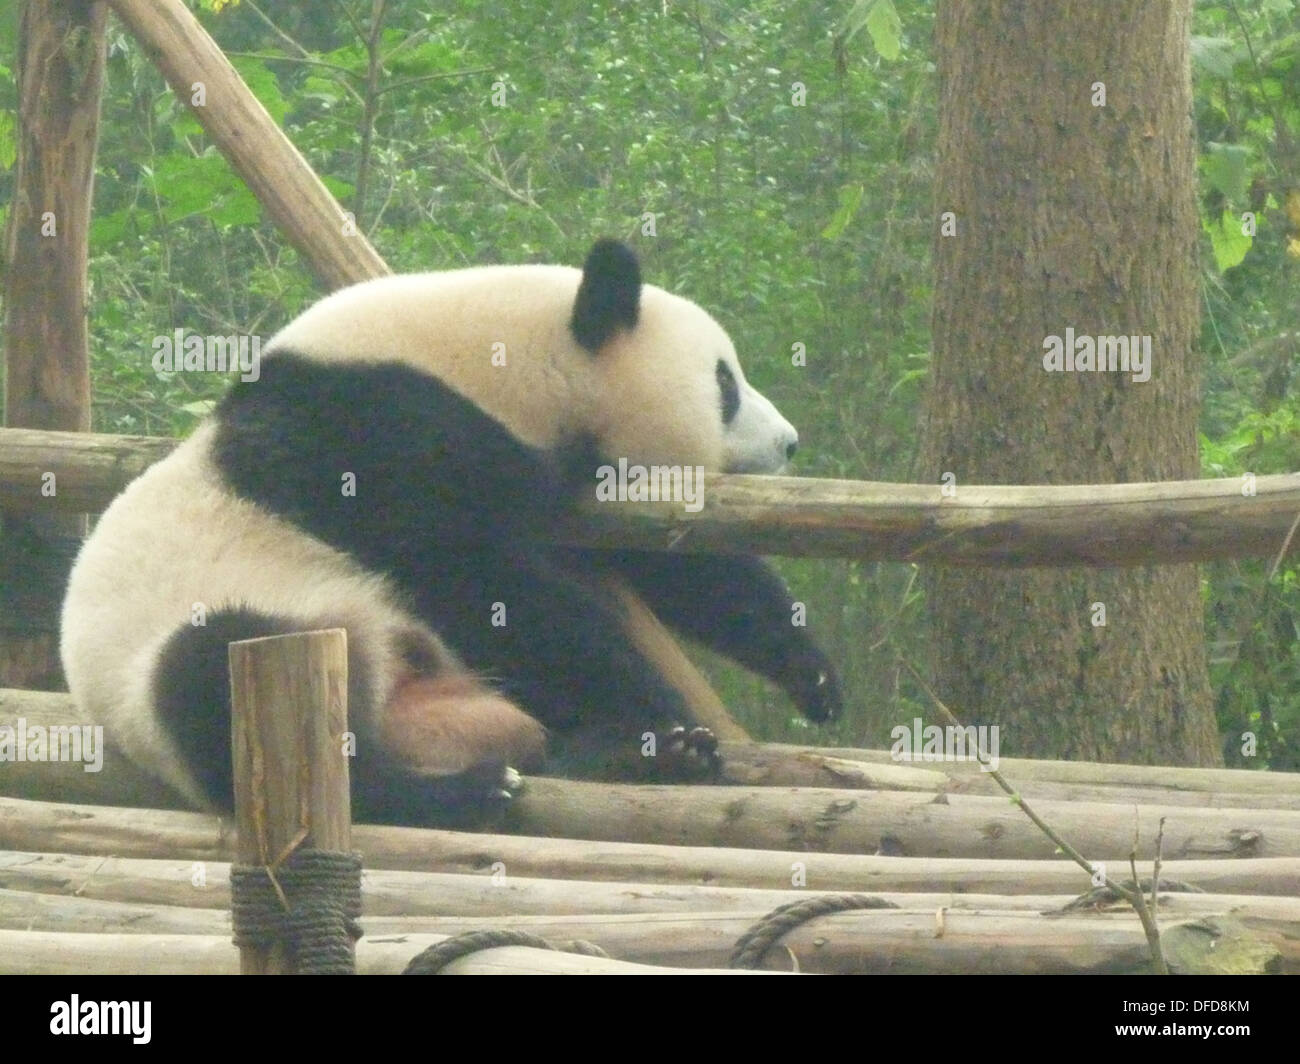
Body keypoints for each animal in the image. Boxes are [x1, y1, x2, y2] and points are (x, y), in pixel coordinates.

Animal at [61, 239, 841, 826]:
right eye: (726, 384)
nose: (790, 442)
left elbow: (674, 568)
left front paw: (812, 676)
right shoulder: (373, 436)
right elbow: (485, 587)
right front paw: (664, 721)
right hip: (196, 647)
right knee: (217, 681)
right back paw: (466, 791)